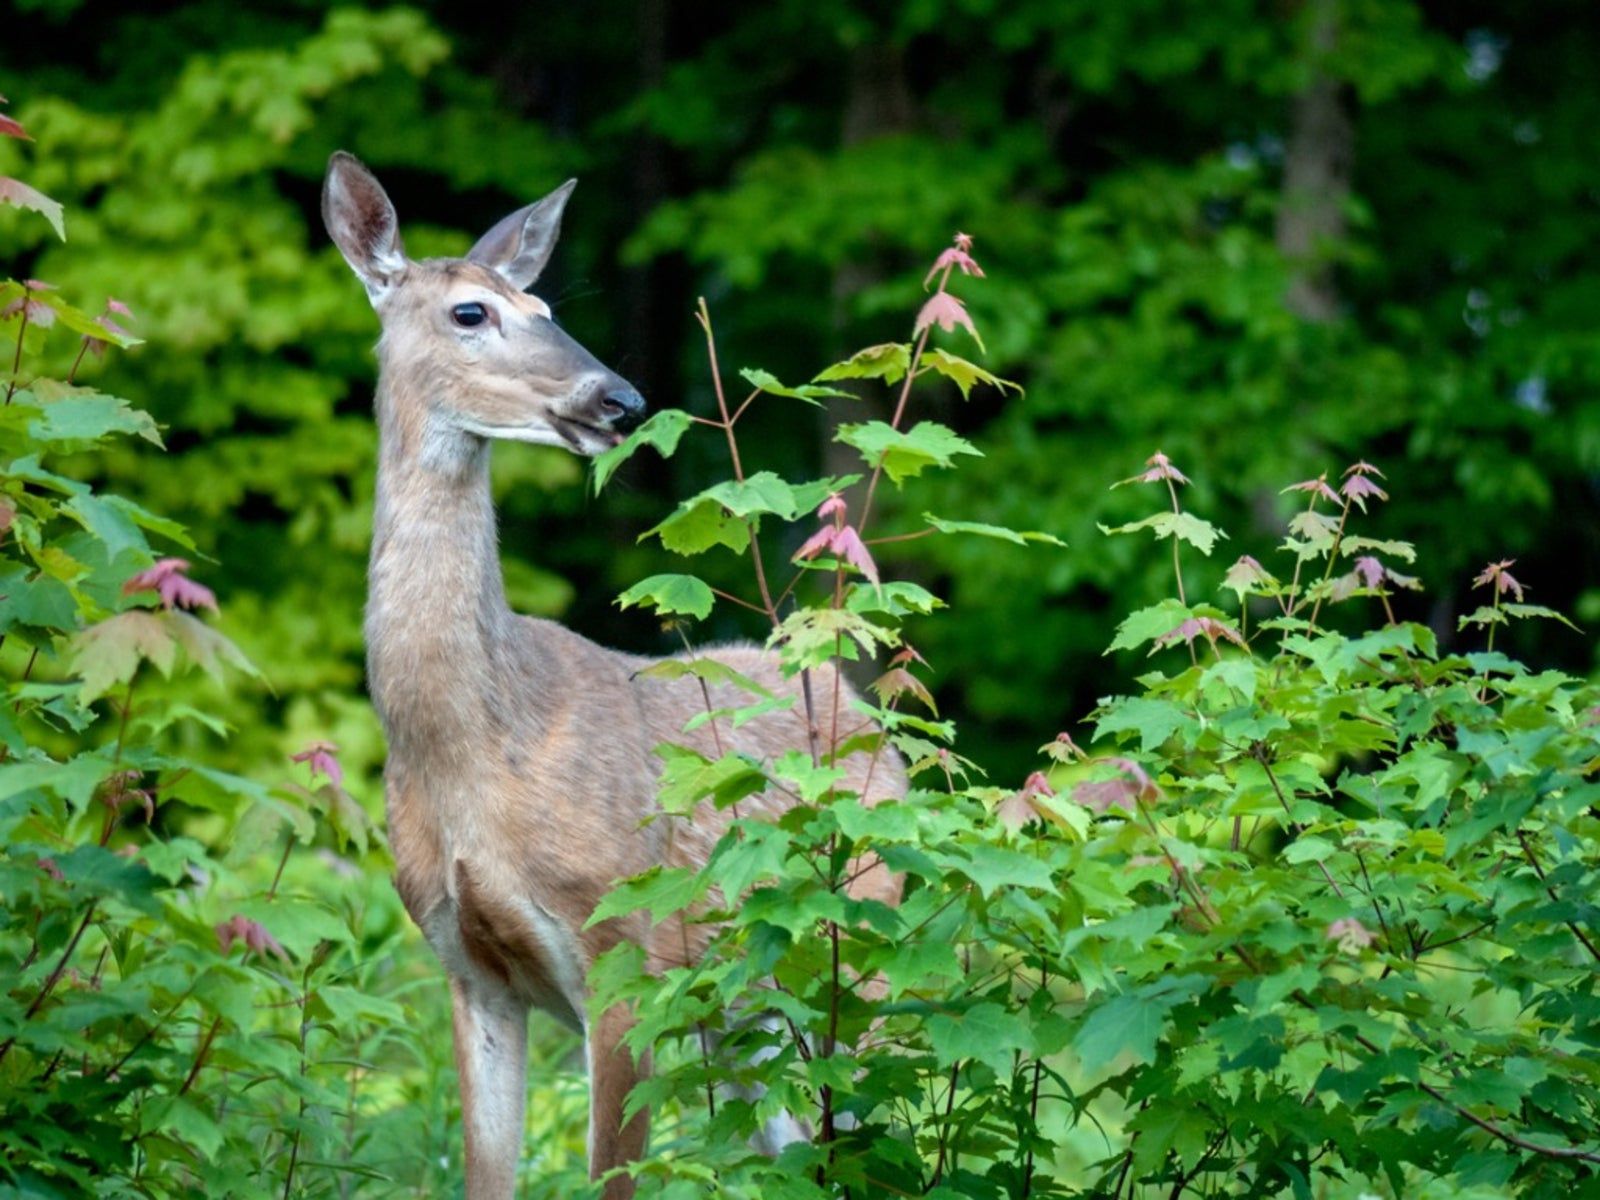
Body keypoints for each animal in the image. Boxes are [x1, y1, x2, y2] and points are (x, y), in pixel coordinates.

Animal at [321, 151, 905, 1200]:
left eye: (547, 302)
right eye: (471, 310)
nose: (621, 402)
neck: (471, 754)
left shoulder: (624, 946)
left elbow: (609, 1176)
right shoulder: (467, 970)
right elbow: (487, 1177)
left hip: (871, 952)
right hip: (756, 1014)